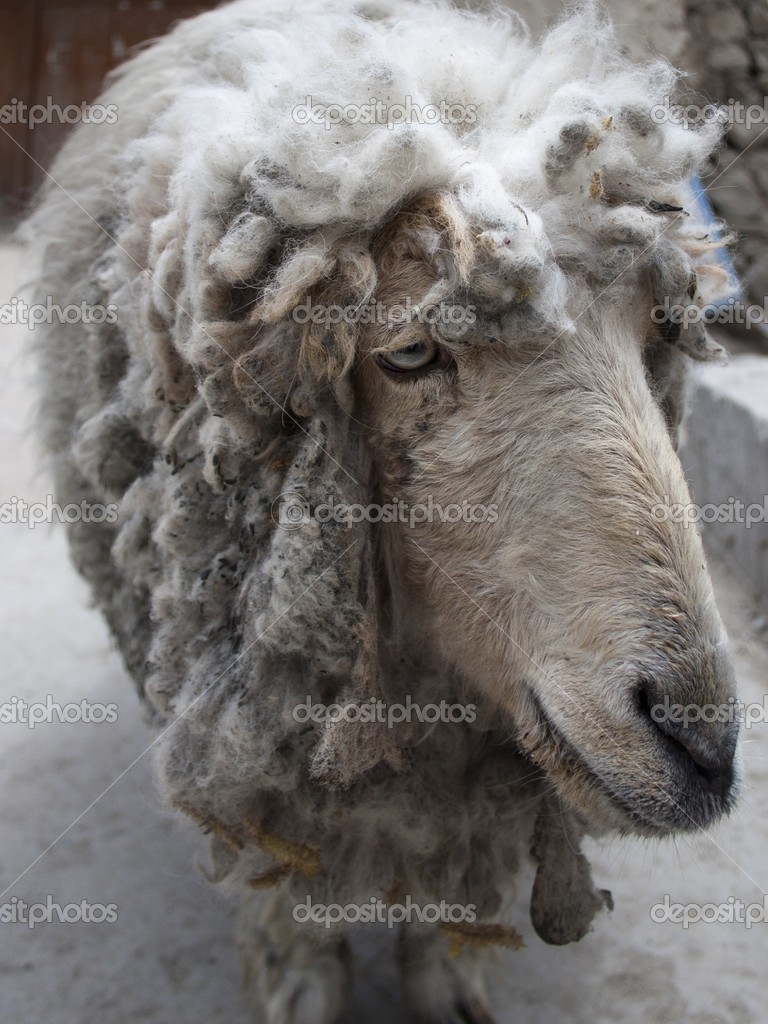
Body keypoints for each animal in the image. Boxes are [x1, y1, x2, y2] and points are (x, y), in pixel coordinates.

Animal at [24, 1, 741, 1021]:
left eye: (655, 333)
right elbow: (283, 886)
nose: (702, 743)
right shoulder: (261, 758)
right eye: (408, 353)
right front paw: (298, 976)